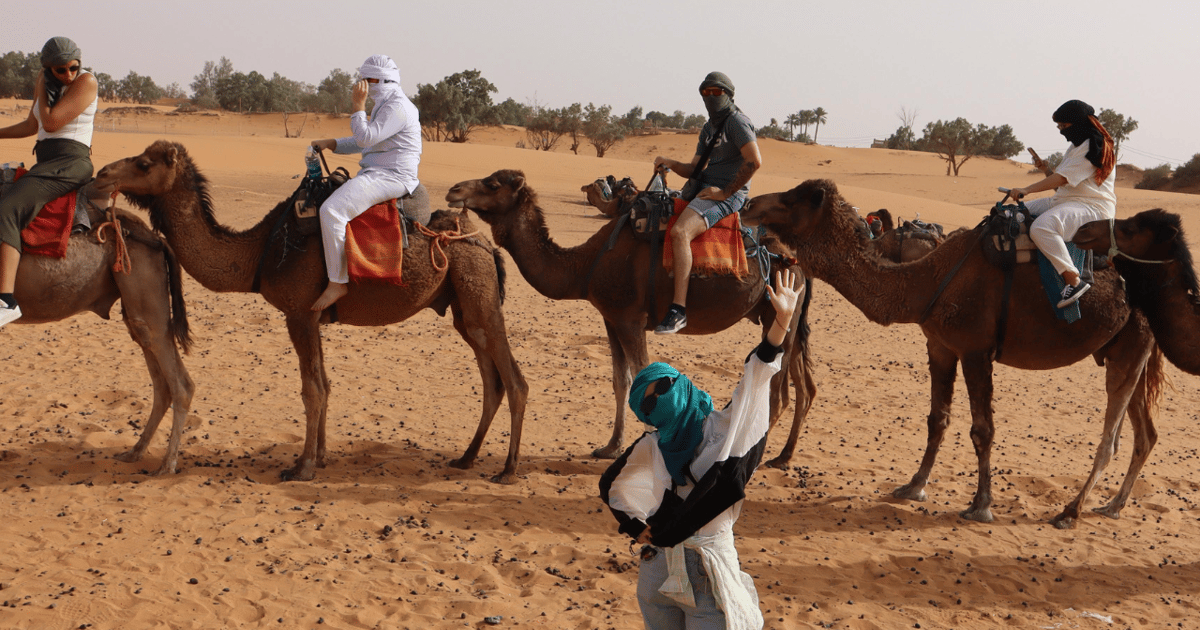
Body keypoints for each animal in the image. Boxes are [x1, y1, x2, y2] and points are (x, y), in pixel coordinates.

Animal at [6, 193, 195, 474]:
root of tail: (157, 240)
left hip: (142, 285)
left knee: (180, 383)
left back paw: (166, 465)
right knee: (161, 382)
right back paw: (134, 452)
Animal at [94, 140, 529, 484]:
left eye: (144, 164)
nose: (101, 174)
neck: (258, 251)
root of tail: (483, 243)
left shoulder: (299, 314)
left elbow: (311, 389)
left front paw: (301, 466)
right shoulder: (314, 317)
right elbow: (325, 382)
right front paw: (319, 457)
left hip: (479, 293)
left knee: (514, 380)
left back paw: (507, 470)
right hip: (463, 308)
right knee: (491, 380)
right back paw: (466, 458)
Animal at [445, 169, 816, 466]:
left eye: (493, 184)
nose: (454, 189)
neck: (586, 265)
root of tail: (795, 261)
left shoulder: (631, 320)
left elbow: (644, 376)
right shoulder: (611, 318)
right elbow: (621, 381)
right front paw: (610, 447)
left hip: (778, 313)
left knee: (779, 394)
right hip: (785, 316)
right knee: (802, 387)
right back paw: (783, 456)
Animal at [742, 179, 1165, 528]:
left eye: (798, 197)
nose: (749, 204)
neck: (928, 279)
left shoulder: (975, 349)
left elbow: (983, 429)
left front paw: (981, 505)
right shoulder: (941, 346)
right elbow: (937, 419)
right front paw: (913, 487)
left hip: (1130, 350)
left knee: (1110, 440)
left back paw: (1071, 511)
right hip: (1127, 350)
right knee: (1146, 433)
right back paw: (1113, 506)